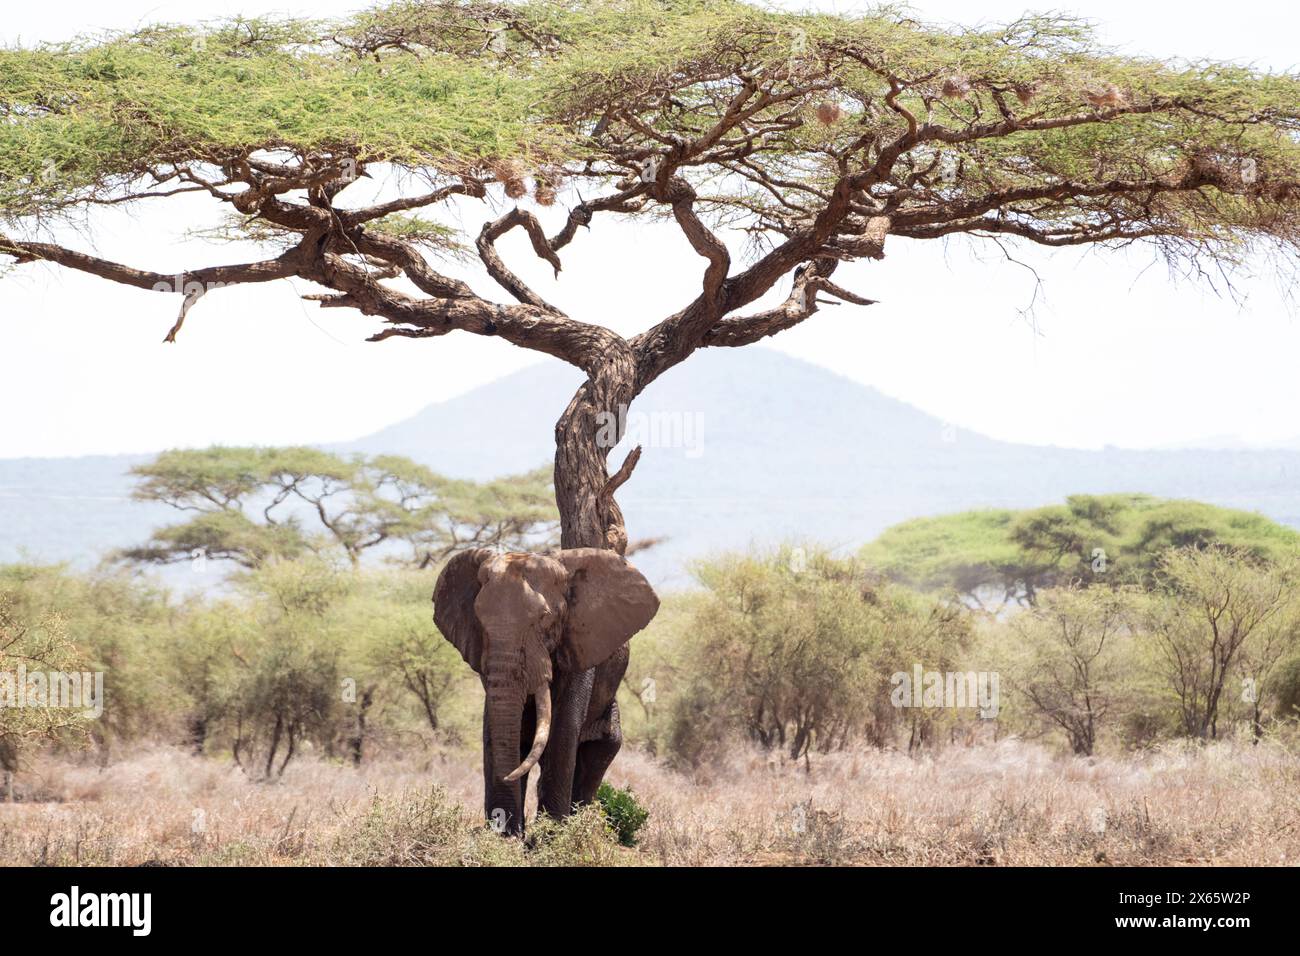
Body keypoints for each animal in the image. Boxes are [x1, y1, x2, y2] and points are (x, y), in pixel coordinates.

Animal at [432, 546, 659, 835]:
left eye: (544, 618)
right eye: (480, 620)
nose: (510, 832)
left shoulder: (578, 646)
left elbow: (562, 732)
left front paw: (550, 837)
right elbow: (499, 729)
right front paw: (505, 837)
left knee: (600, 752)